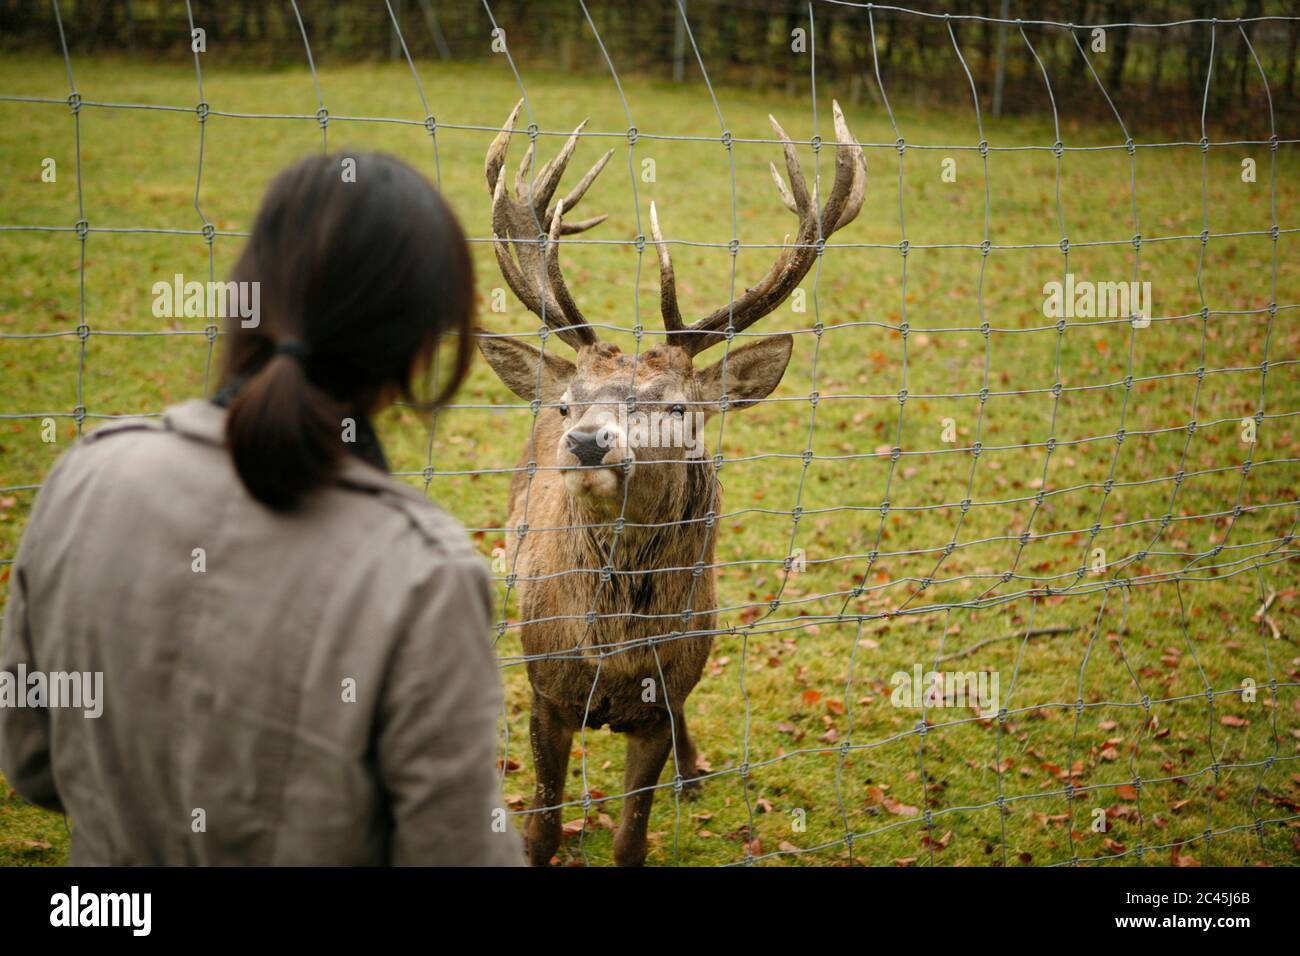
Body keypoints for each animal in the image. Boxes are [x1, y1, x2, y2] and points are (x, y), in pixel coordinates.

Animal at [477, 99, 866, 866]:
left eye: (679, 408)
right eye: (569, 404)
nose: (586, 441)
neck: (613, 655)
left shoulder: (662, 694)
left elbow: (632, 840)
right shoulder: (544, 689)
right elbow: (542, 827)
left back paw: (693, 773)